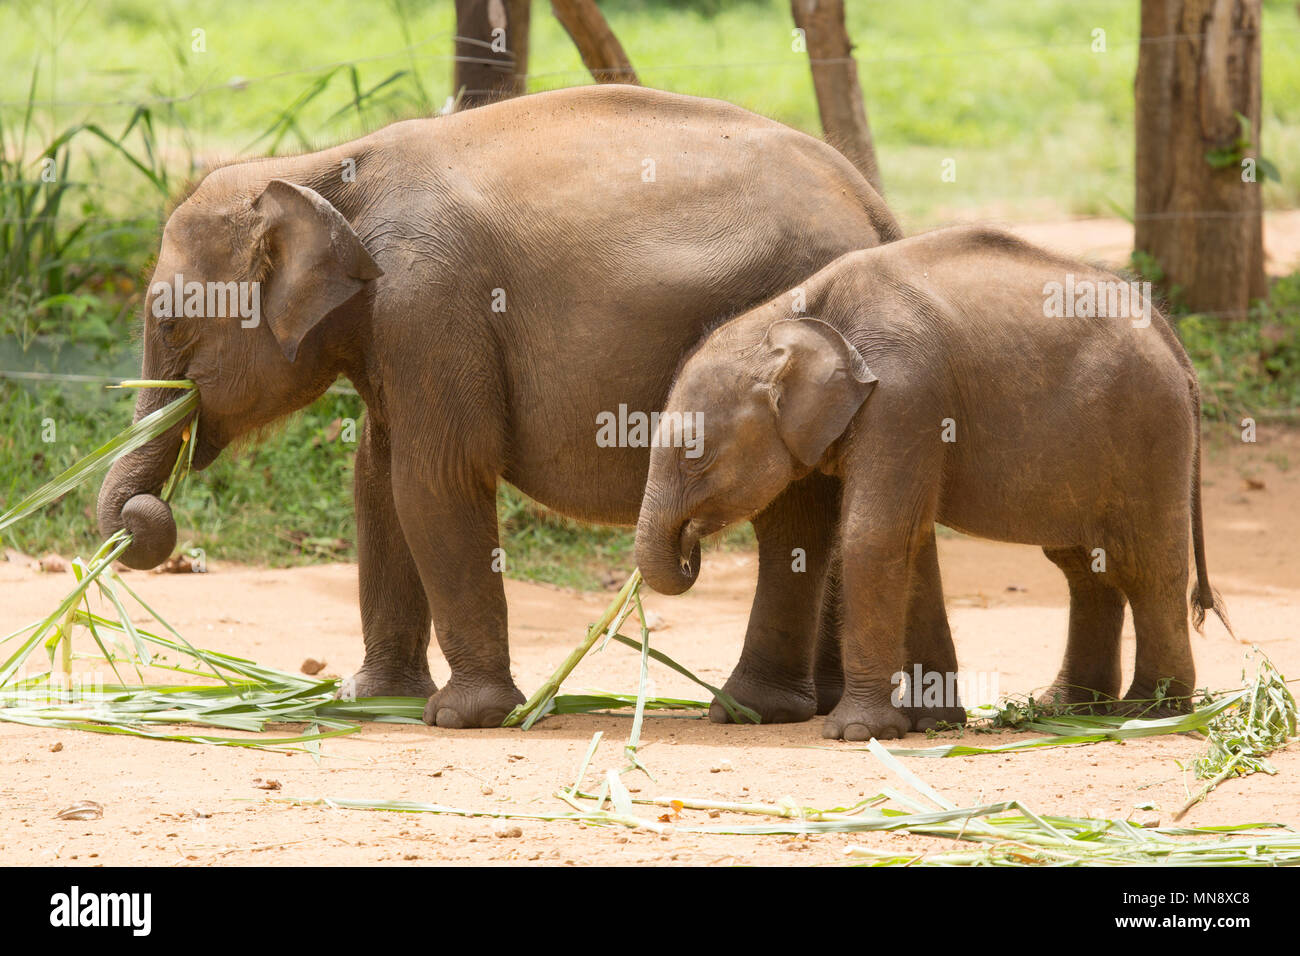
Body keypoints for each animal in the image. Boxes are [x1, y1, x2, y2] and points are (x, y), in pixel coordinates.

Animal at [96, 83, 912, 729]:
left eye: (170, 324)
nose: (146, 514)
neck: (322, 169)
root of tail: (877, 208)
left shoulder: (428, 300)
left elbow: (434, 480)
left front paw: (464, 716)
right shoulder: (395, 329)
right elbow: (377, 480)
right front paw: (378, 702)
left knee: (794, 515)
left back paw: (752, 708)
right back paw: (825, 704)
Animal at [634, 225, 1229, 740]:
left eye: (694, 454)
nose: (690, 550)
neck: (797, 313)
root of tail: (1174, 343)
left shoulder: (906, 393)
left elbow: (875, 536)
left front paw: (858, 733)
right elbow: (913, 542)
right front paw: (930, 724)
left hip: (1149, 434)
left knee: (1147, 564)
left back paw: (1151, 713)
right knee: (1085, 567)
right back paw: (1069, 709)